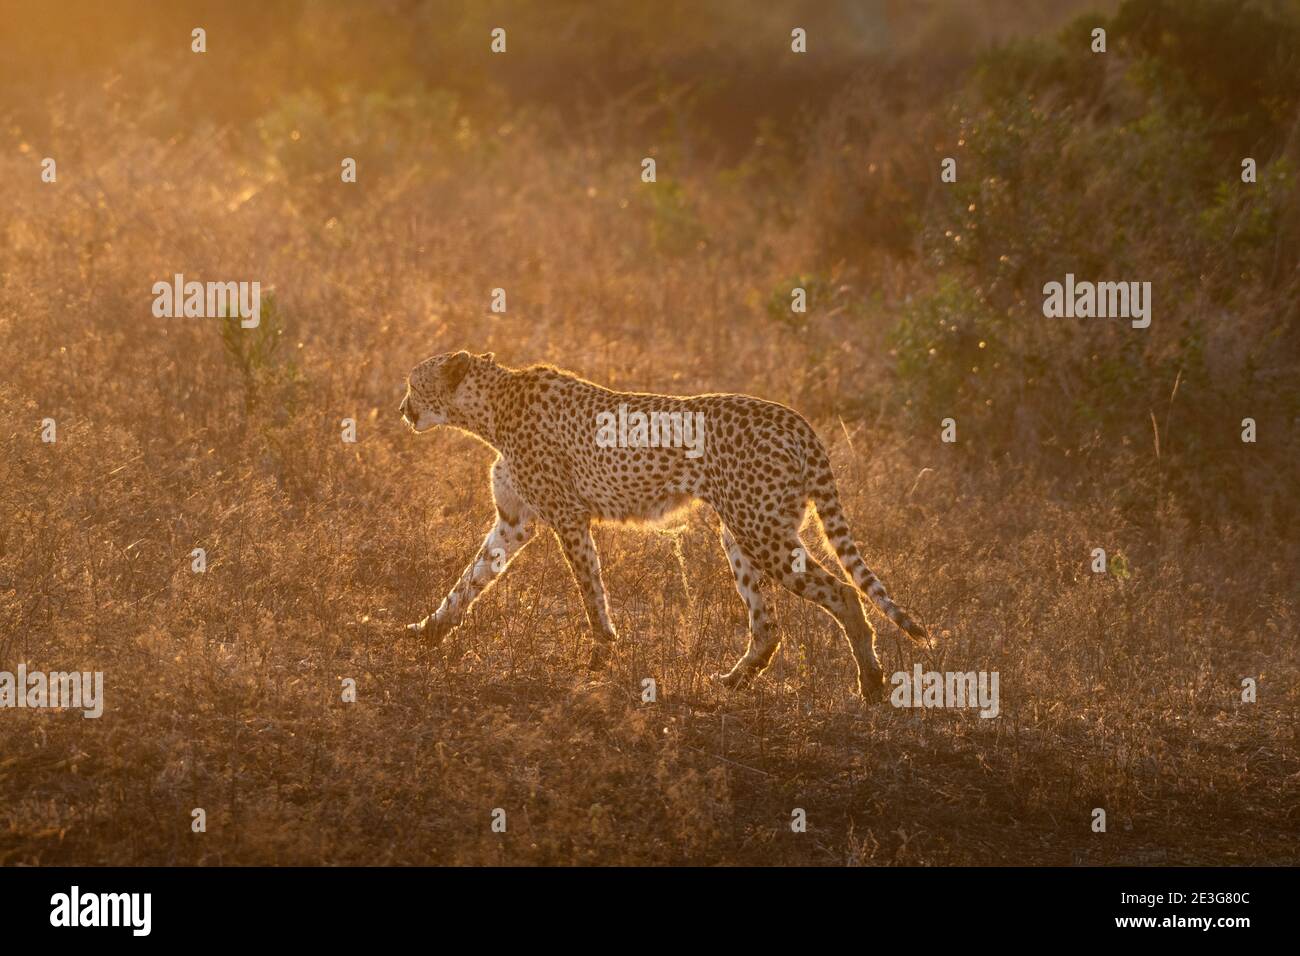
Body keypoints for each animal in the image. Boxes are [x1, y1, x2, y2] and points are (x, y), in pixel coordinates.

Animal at [398, 350, 928, 699]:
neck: (491, 406)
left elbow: (590, 591)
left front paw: (601, 654)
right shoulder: (514, 521)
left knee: (844, 592)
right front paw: (429, 629)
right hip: (741, 532)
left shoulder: (568, 517)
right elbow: (469, 581)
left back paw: (871, 683)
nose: (402, 410)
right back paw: (735, 680)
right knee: (769, 623)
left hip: (760, 530)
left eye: (412, 383)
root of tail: (795, 419)